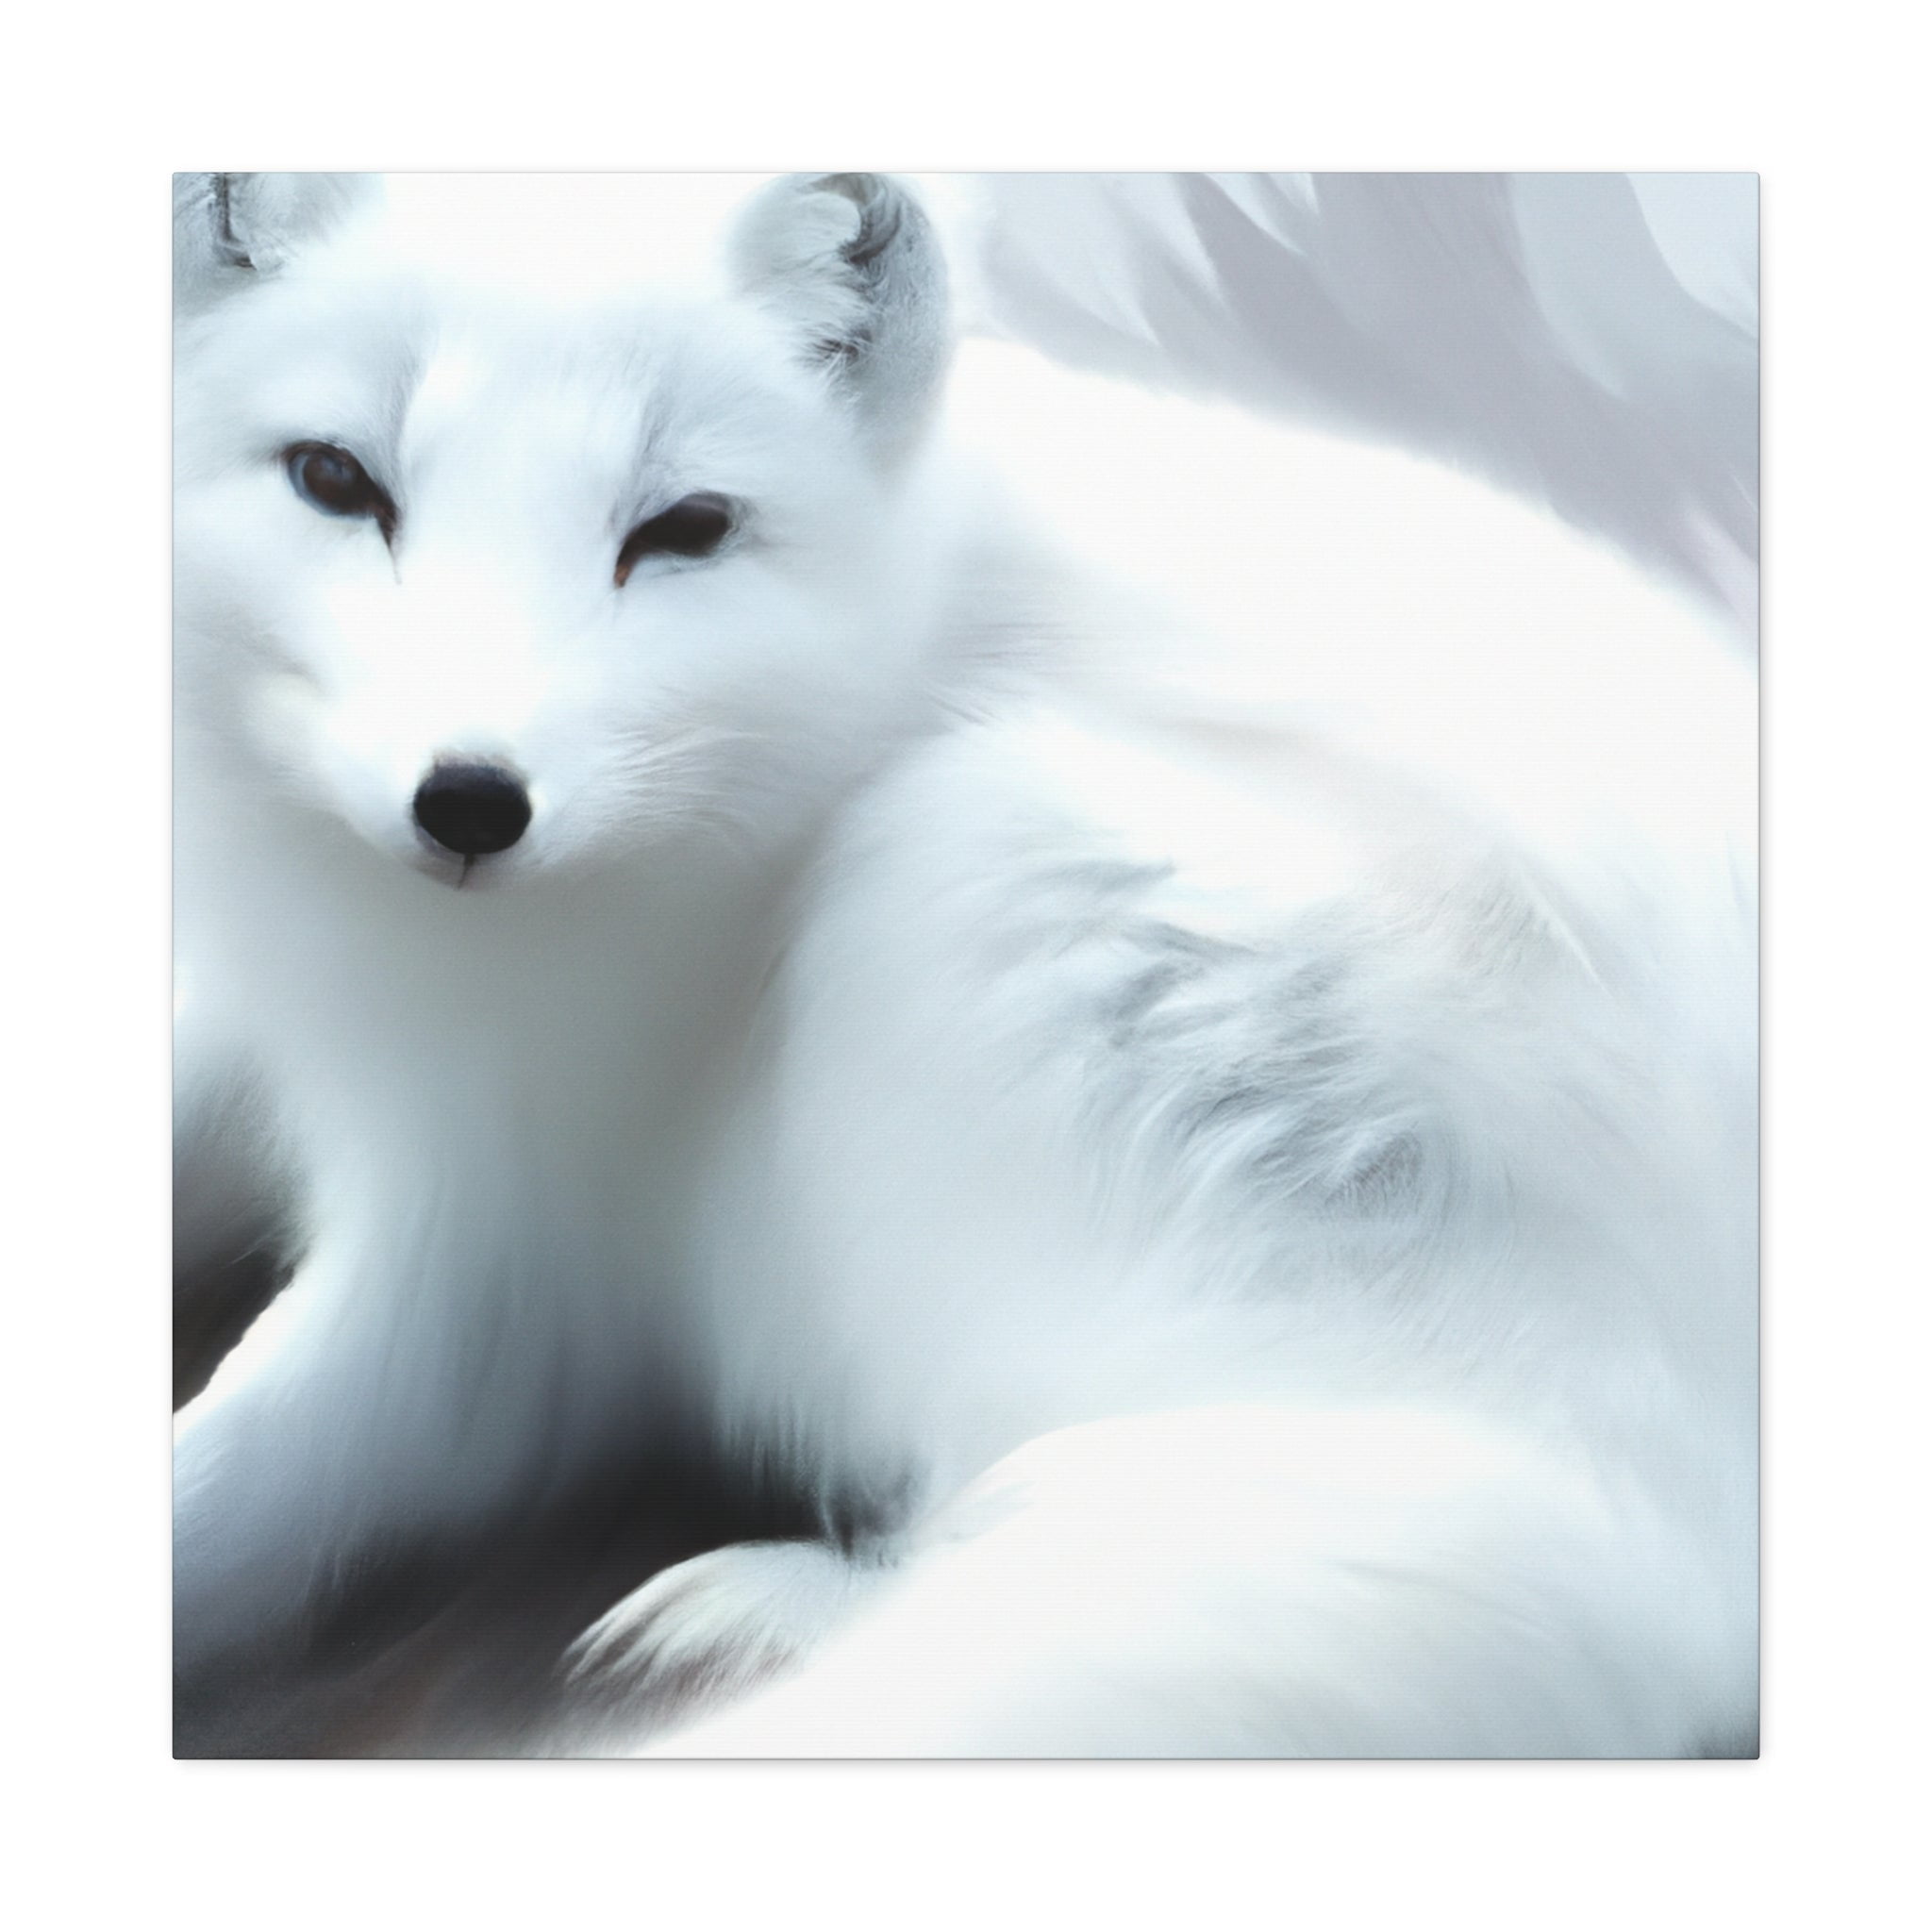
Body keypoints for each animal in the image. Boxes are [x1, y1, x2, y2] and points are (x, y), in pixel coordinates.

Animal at [173, 171, 1757, 1757]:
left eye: (687, 526)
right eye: (337, 479)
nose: (469, 801)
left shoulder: (499, 1254)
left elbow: (244, 1466)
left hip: (956, 865)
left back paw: (781, 1607)